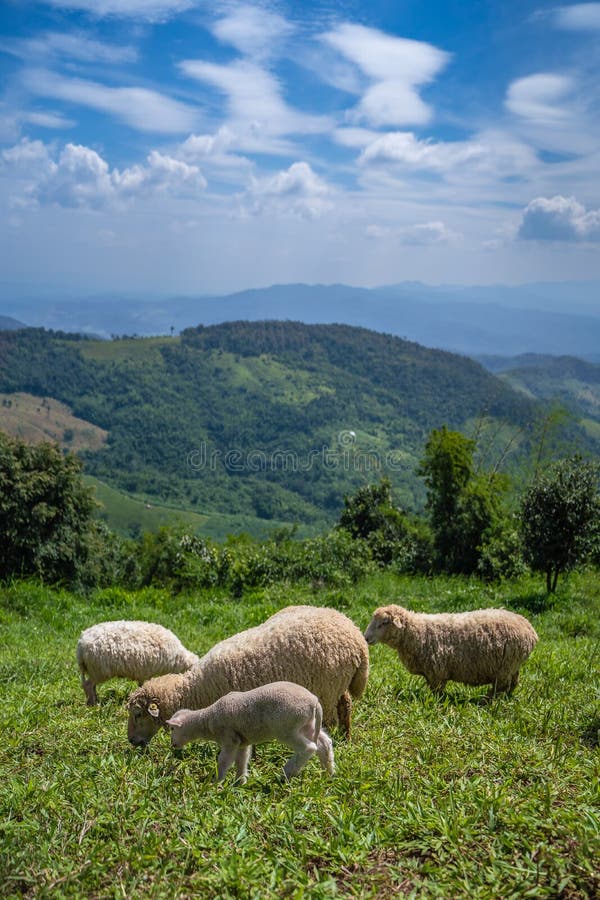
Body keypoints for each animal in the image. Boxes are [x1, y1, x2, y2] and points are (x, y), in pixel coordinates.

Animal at [127, 605, 369, 747]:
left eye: (138, 715)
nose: (132, 741)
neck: (197, 689)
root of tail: (355, 635)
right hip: (338, 685)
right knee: (346, 706)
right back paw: (346, 739)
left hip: (327, 689)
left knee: (330, 718)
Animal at [166, 681, 335, 783]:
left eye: (172, 728)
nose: (172, 744)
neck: (207, 720)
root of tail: (314, 701)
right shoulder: (242, 741)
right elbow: (242, 760)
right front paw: (239, 782)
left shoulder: (229, 738)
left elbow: (224, 761)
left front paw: (217, 782)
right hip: (306, 724)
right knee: (324, 743)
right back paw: (329, 772)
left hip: (286, 727)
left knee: (309, 748)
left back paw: (286, 773)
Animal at [364, 604, 538, 696]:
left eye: (384, 622)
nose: (365, 638)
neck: (417, 632)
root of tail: (530, 630)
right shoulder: (430, 673)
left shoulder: (437, 671)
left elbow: (436, 692)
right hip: (513, 666)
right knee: (513, 683)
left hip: (505, 667)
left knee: (501, 687)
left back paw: (487, 700)